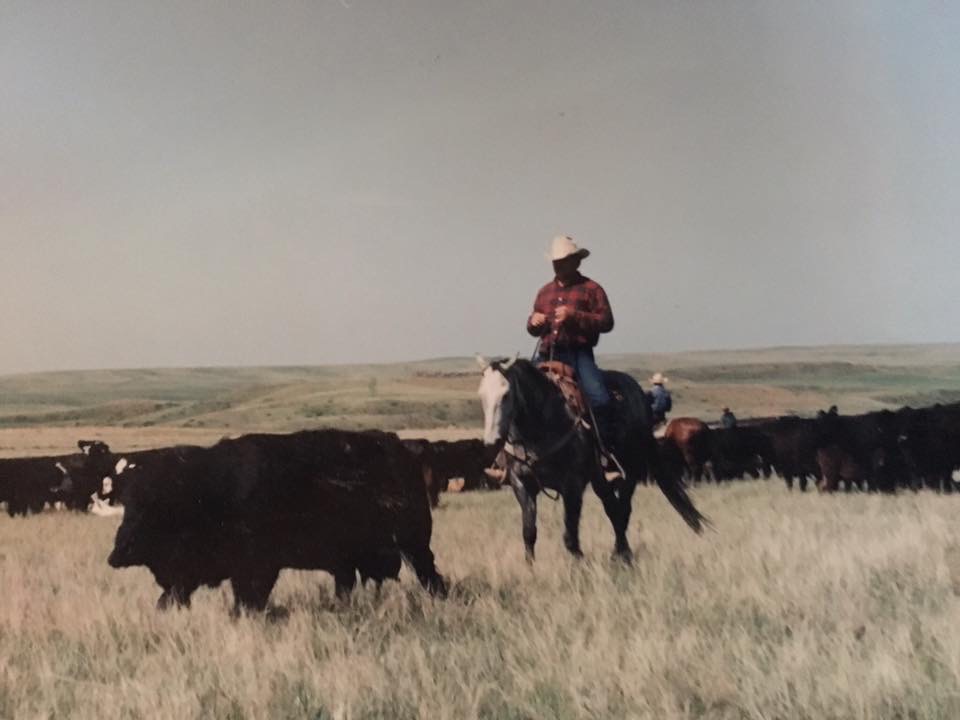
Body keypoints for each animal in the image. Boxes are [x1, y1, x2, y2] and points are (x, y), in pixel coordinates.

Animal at [477, 356, 706, 562]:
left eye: (506, 394)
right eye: (482, 395)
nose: (492, 441)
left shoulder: (573, 486)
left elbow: (570, 536)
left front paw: (579, 567)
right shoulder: (522, 484)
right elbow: (529, 532)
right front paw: (530, 568)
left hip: (630, 470)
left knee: (623, 510)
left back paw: (623, 554)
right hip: (601, 480)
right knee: (613, 508)